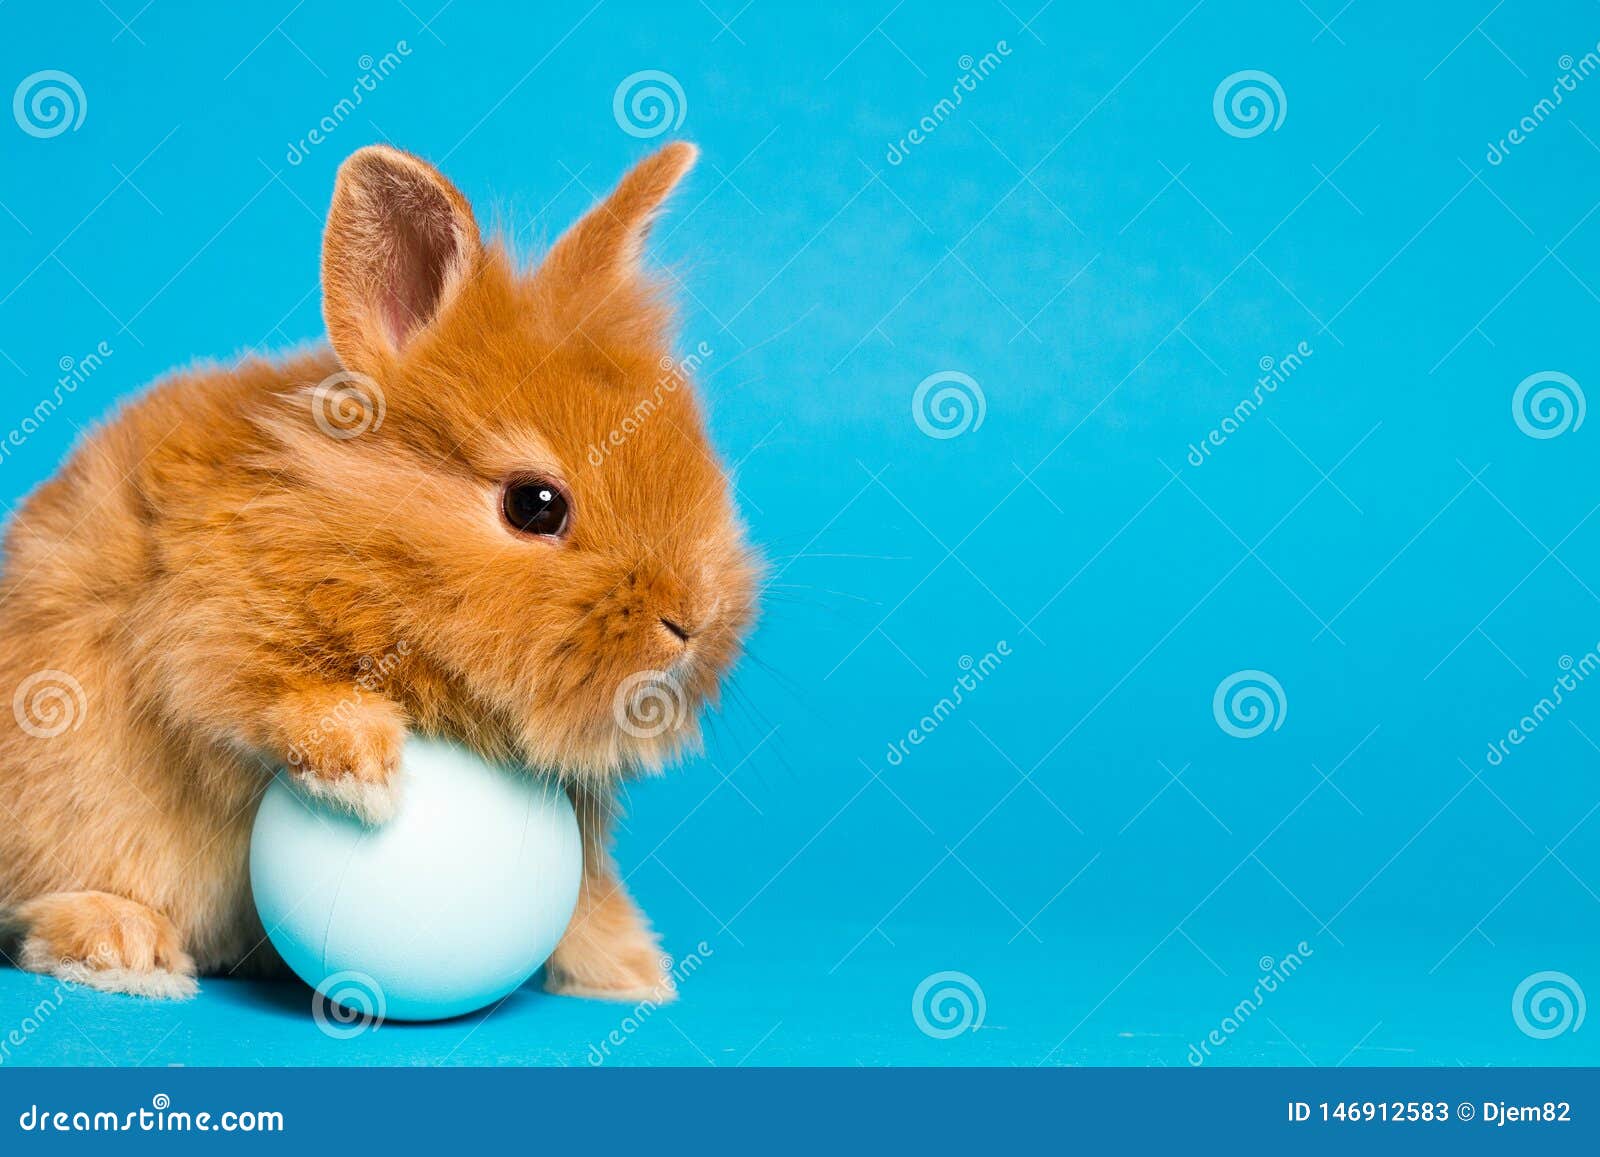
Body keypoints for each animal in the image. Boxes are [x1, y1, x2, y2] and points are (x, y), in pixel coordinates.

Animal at [0, 140, 758, 1002]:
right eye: (534, 505)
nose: (692, 621)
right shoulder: (205, 629)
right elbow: (260, 690)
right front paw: (366, 771)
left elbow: (586, 893)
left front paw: (633, 970)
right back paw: (123, 944)